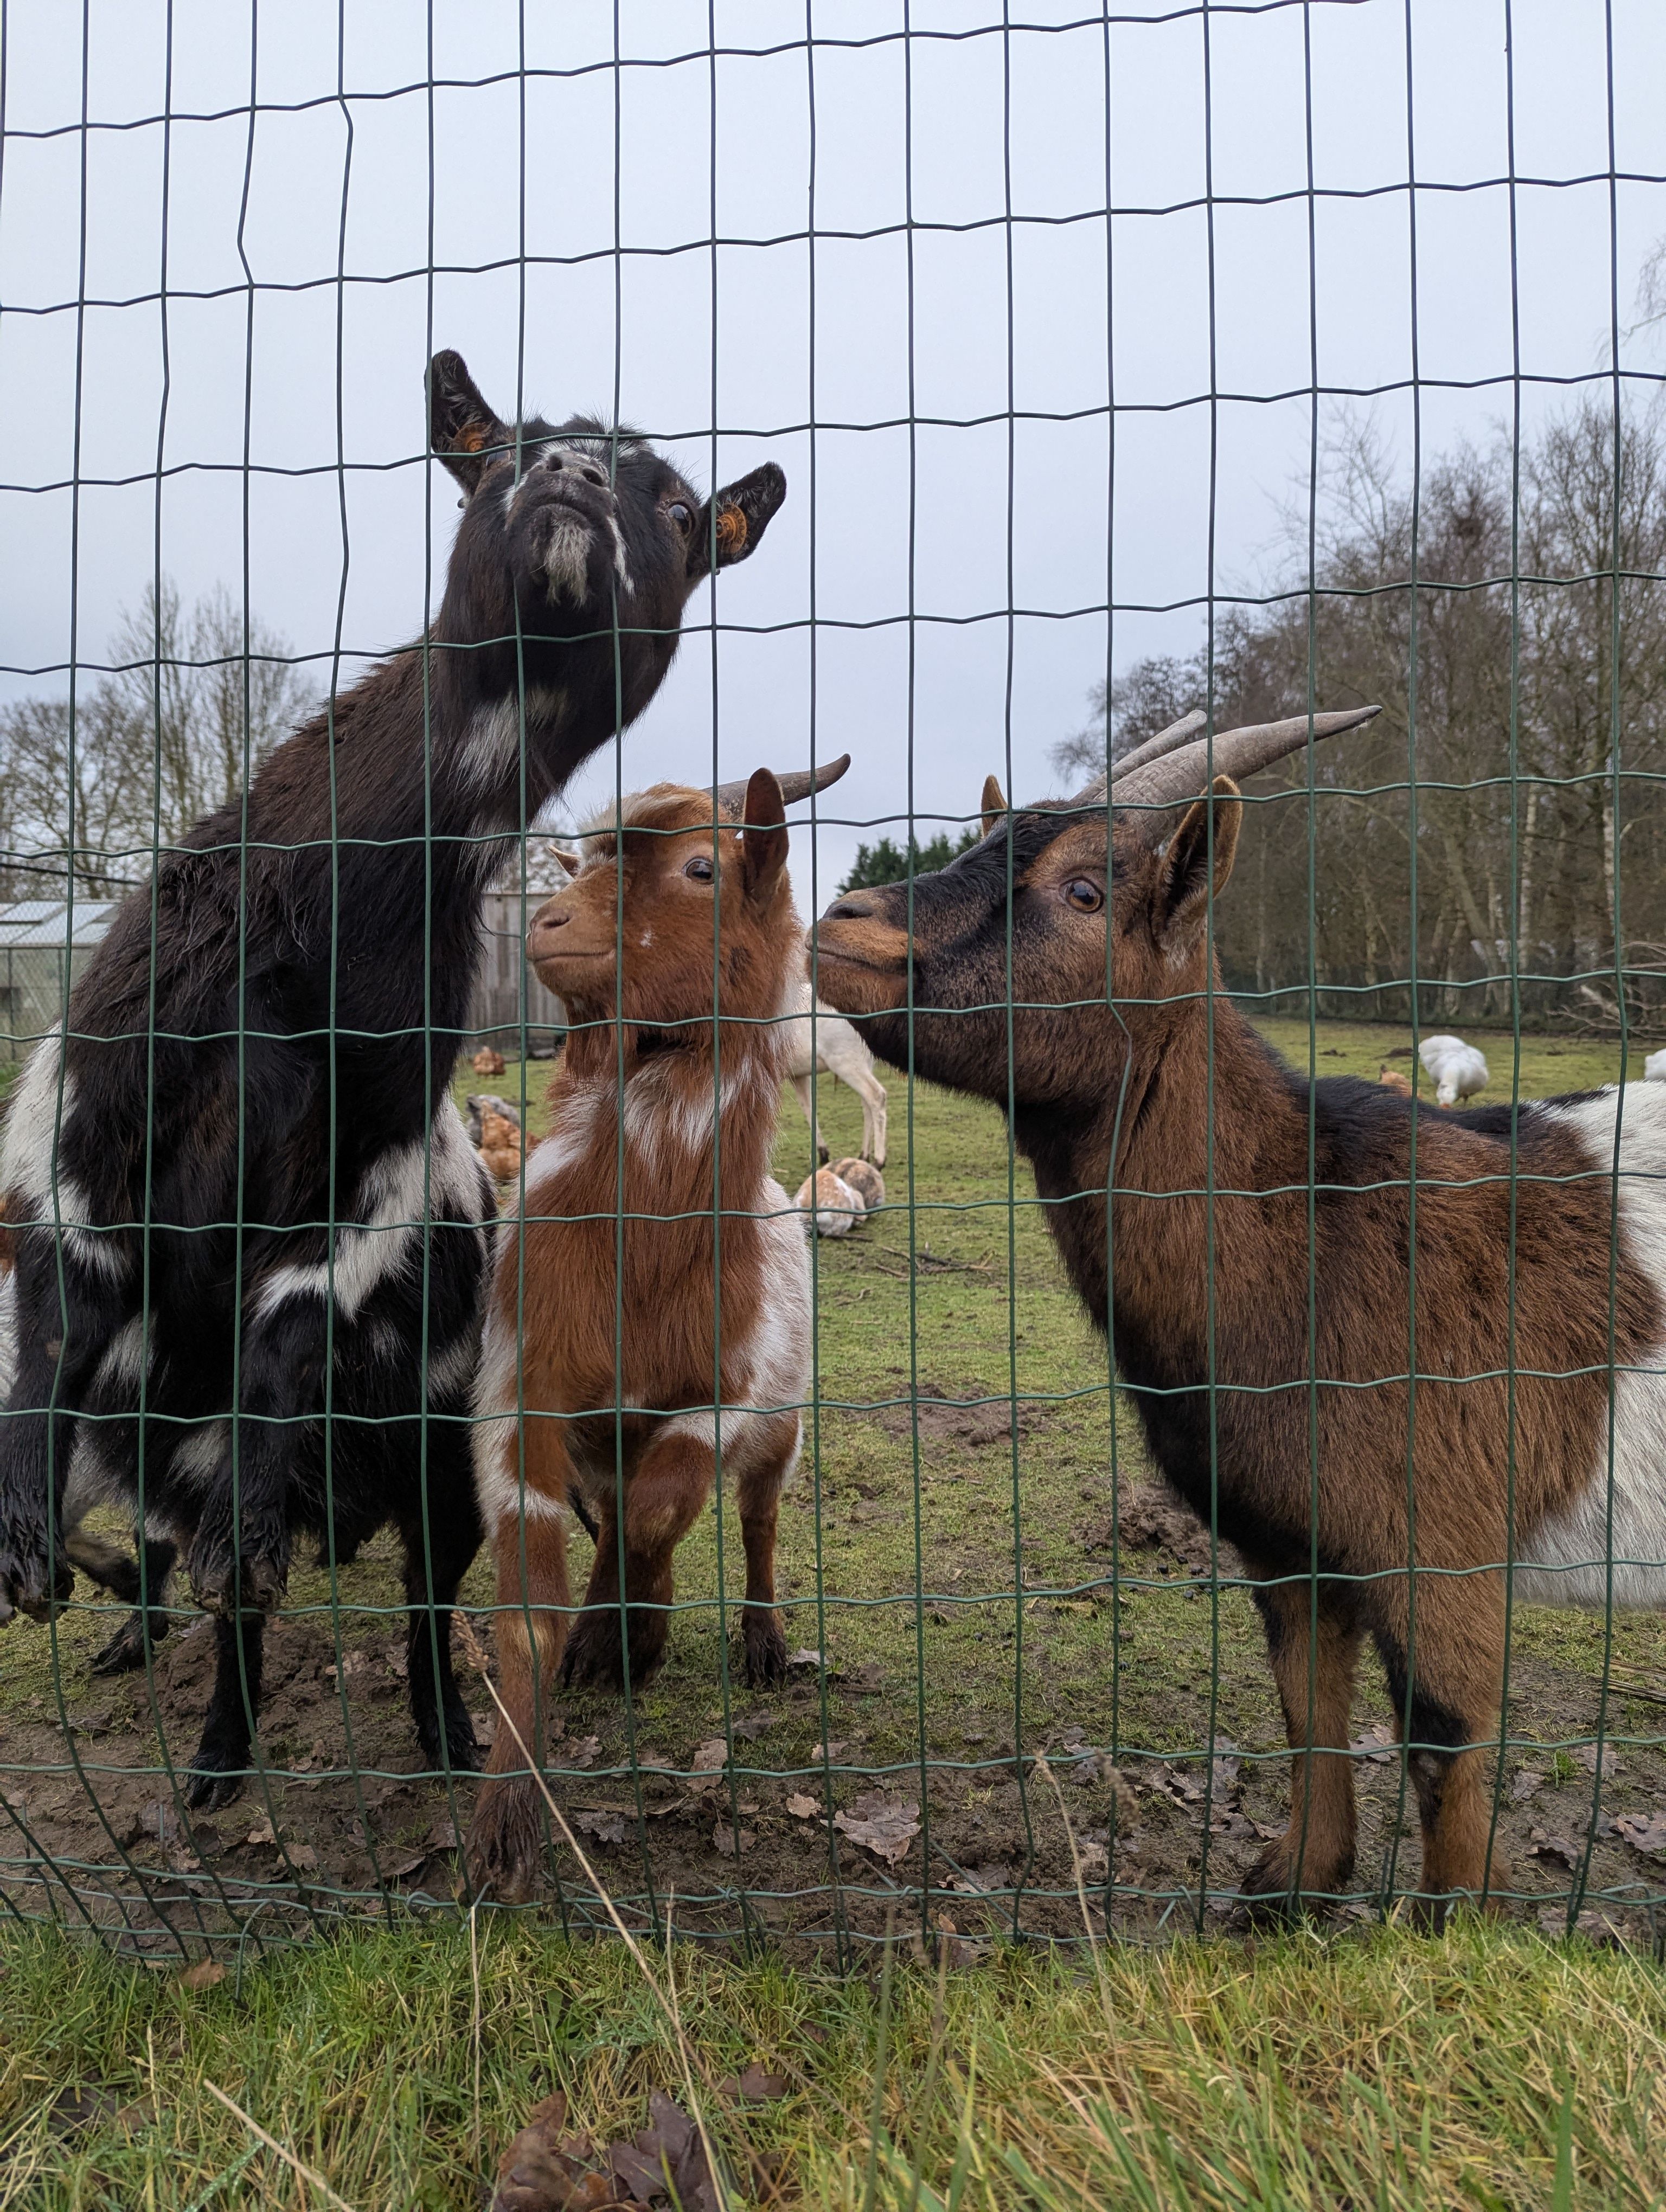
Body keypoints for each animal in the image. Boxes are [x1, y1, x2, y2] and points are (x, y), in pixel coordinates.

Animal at [0, 348, 786, 1808]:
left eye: (676, 500)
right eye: (505, 449)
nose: (568, 476)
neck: (301, 933)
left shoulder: (372, 1153)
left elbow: (286, 1328)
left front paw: (247, 1544)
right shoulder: (83, 1114)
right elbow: (54, 1307)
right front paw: (22, 1543)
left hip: (446, 1446)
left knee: (423, 1592)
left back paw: (440, 1734)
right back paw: (212, 1749)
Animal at [466, 759, 840, 1900]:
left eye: (702, 867)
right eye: (582, 863)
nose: (548, 924)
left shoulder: (731, 1392)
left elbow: (658, 1512)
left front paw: (643, 1624)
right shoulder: (520, 1390)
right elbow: (533, 1604)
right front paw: (504, 1829)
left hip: (788, 1424)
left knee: (755, 1519)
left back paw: (758, 1643)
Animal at [782, 983, 888, 1167]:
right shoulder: (798, 1074)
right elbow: (808, 1108)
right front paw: (824, 1154)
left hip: (846, 1061)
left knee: (876, 1095)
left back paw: (879, 1161)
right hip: (863, 1064)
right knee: (867, 1103)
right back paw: (863, 1156)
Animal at [812, 704, 1666, 1921]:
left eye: (1085, 890)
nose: (842, 924)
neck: (1309, 1228)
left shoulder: (1442, 1548)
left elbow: (1444, 1741)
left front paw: (1457, 1924)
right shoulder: (1290, 1548)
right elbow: (1308, 1710)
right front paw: (1290, 1890)